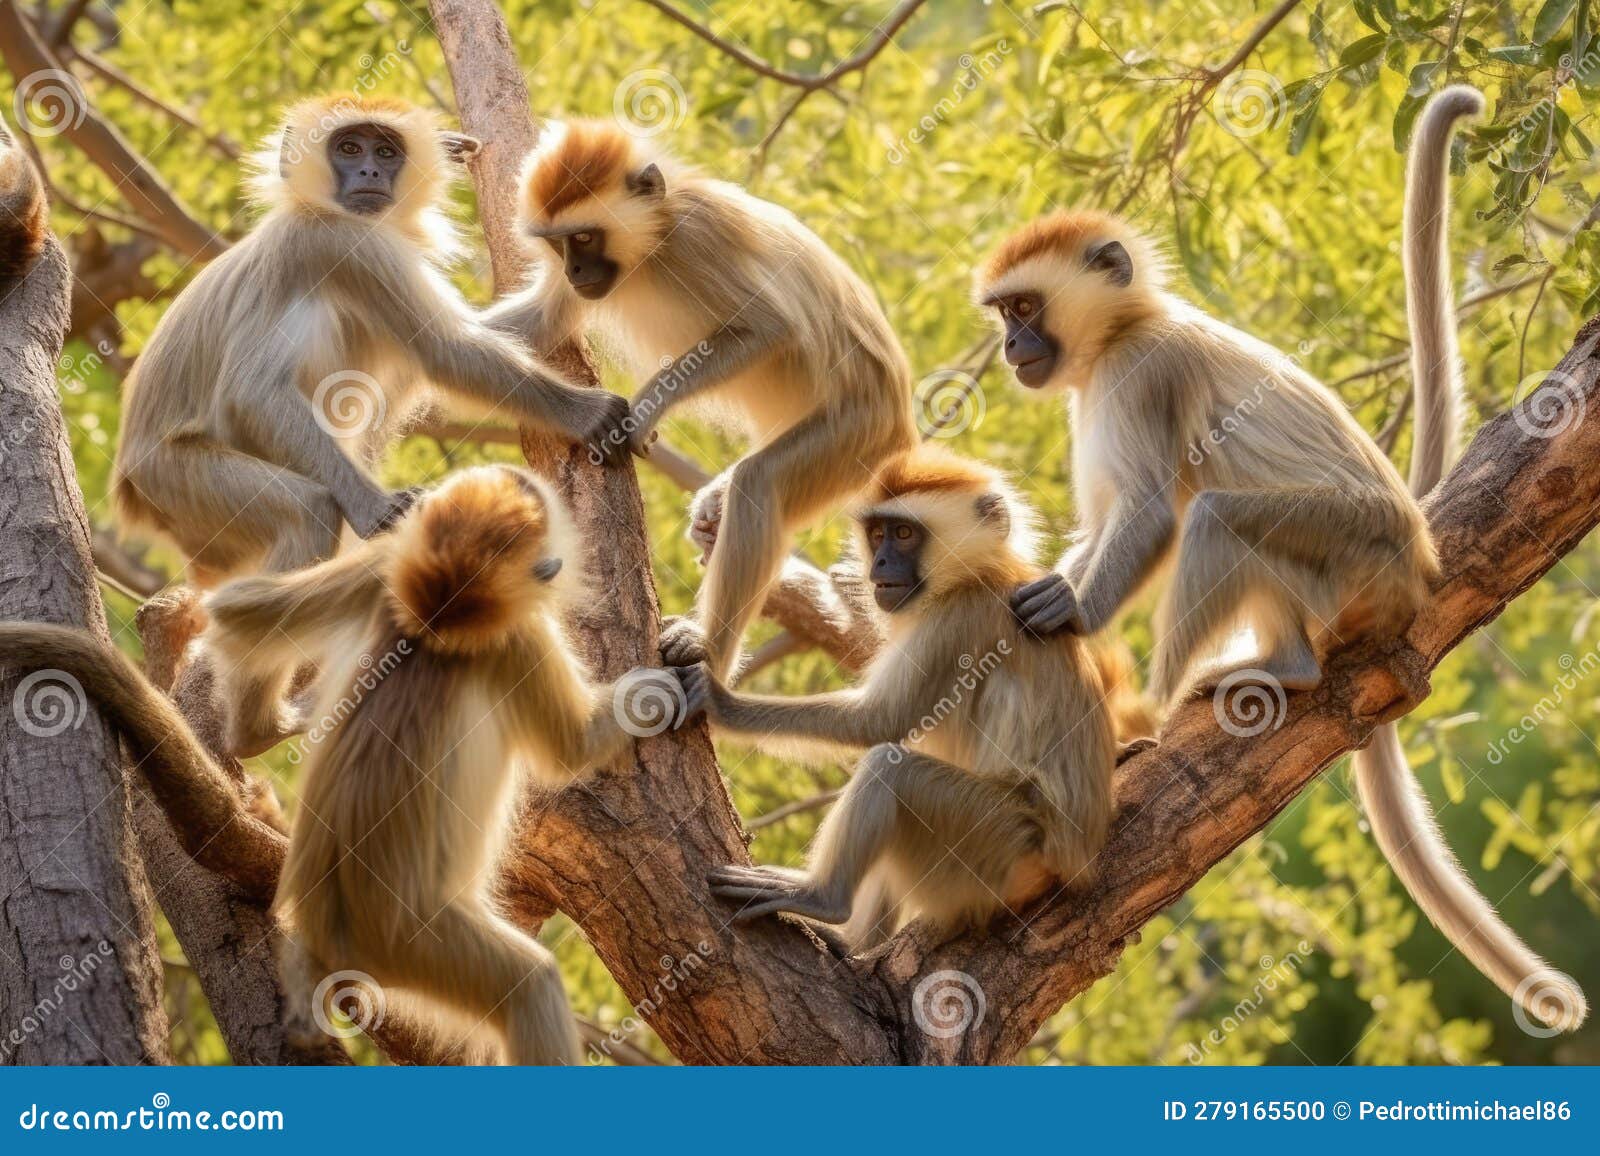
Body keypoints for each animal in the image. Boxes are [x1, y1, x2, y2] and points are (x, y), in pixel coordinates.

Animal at [112, 96, 631, 589]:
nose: (370, 172)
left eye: (385, 152)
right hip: (176, 476)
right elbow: (257, 390)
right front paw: (587, 414)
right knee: (309, 508)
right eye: (348, 148)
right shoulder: (341, 240)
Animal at [486, 119, 916, 682]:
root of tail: (901, 420)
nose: (575, 273)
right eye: (560, 247)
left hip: (856, 434)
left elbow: (769, 330)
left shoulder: (697, 236)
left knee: (760, 481)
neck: (654, 243)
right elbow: (541, 321)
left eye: (582, 238)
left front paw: (644, 410)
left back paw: (708, 652)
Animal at [702, 446, 1115, 952]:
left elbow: (882, 722)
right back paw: (855, 942)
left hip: (999, 848)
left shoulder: (961, 617)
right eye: (878, 534)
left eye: (903, 534)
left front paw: (715, 700)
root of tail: (1072, 865)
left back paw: (822, 898)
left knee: (892, 768)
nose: (879, 564)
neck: (978, 573)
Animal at [974, 86, 1585, 1031]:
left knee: (1213, 516)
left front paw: (1069, 617)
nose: (1011, 349)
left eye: (1027, 311)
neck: (1126, 330)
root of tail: (1416, 562)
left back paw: (1186, 704)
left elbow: (1148, 518)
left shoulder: (1142, 375)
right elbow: (1103, 526)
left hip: (1352, 554)